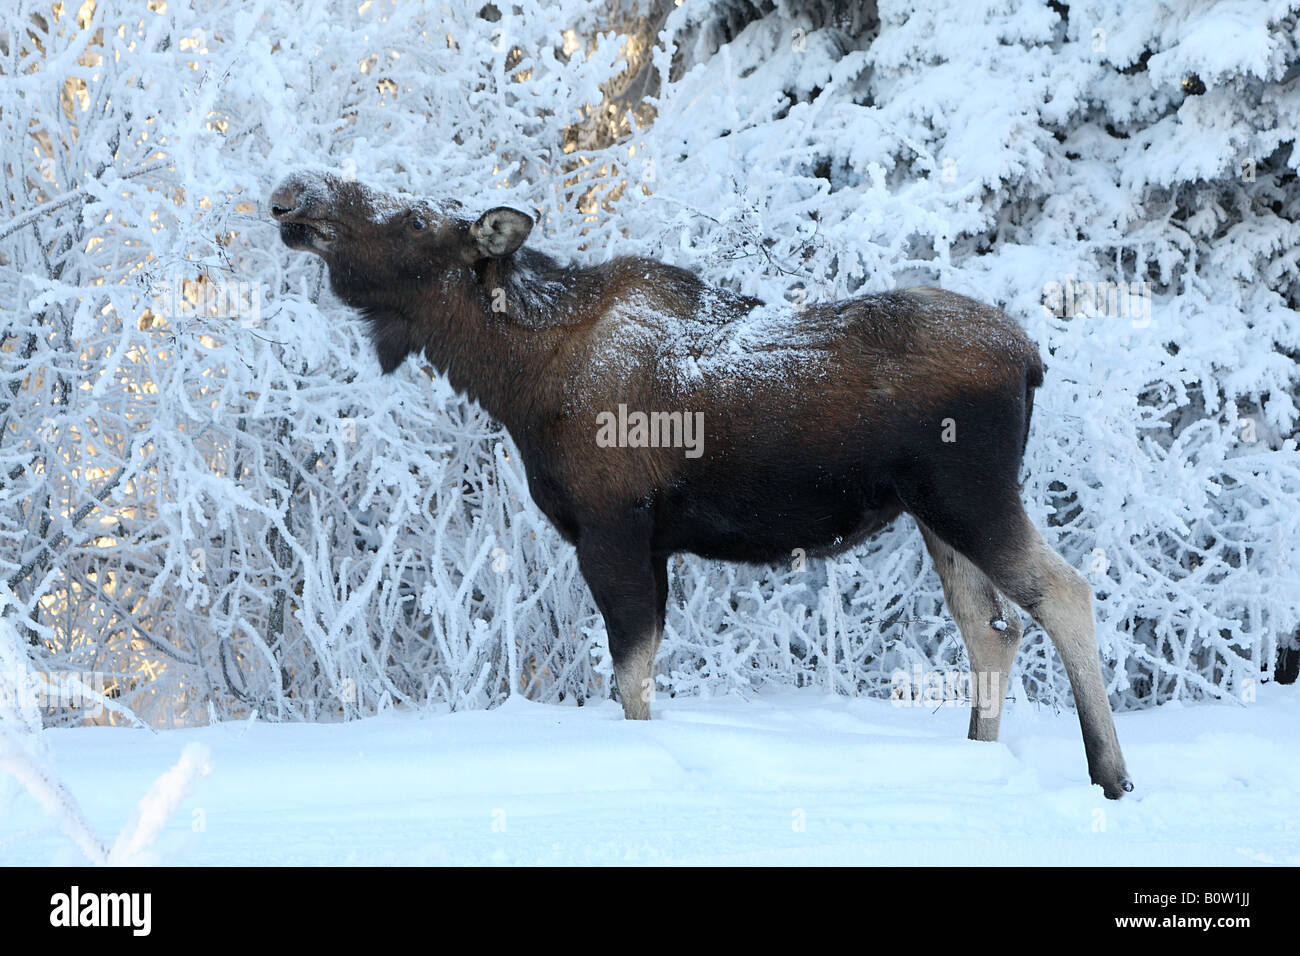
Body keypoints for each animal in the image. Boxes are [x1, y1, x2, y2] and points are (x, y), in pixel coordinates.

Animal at [269, 168, 1134, 799]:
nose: (296, 190)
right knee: (990, 629)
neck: (513, 379)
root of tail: (1030, 358)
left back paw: (1111, 774)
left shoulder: (614, 529)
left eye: (416, 222)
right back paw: (981, 762)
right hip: (931, 514)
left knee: (1063, 593)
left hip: (969, 492)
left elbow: (631, 679)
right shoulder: (649, 546)